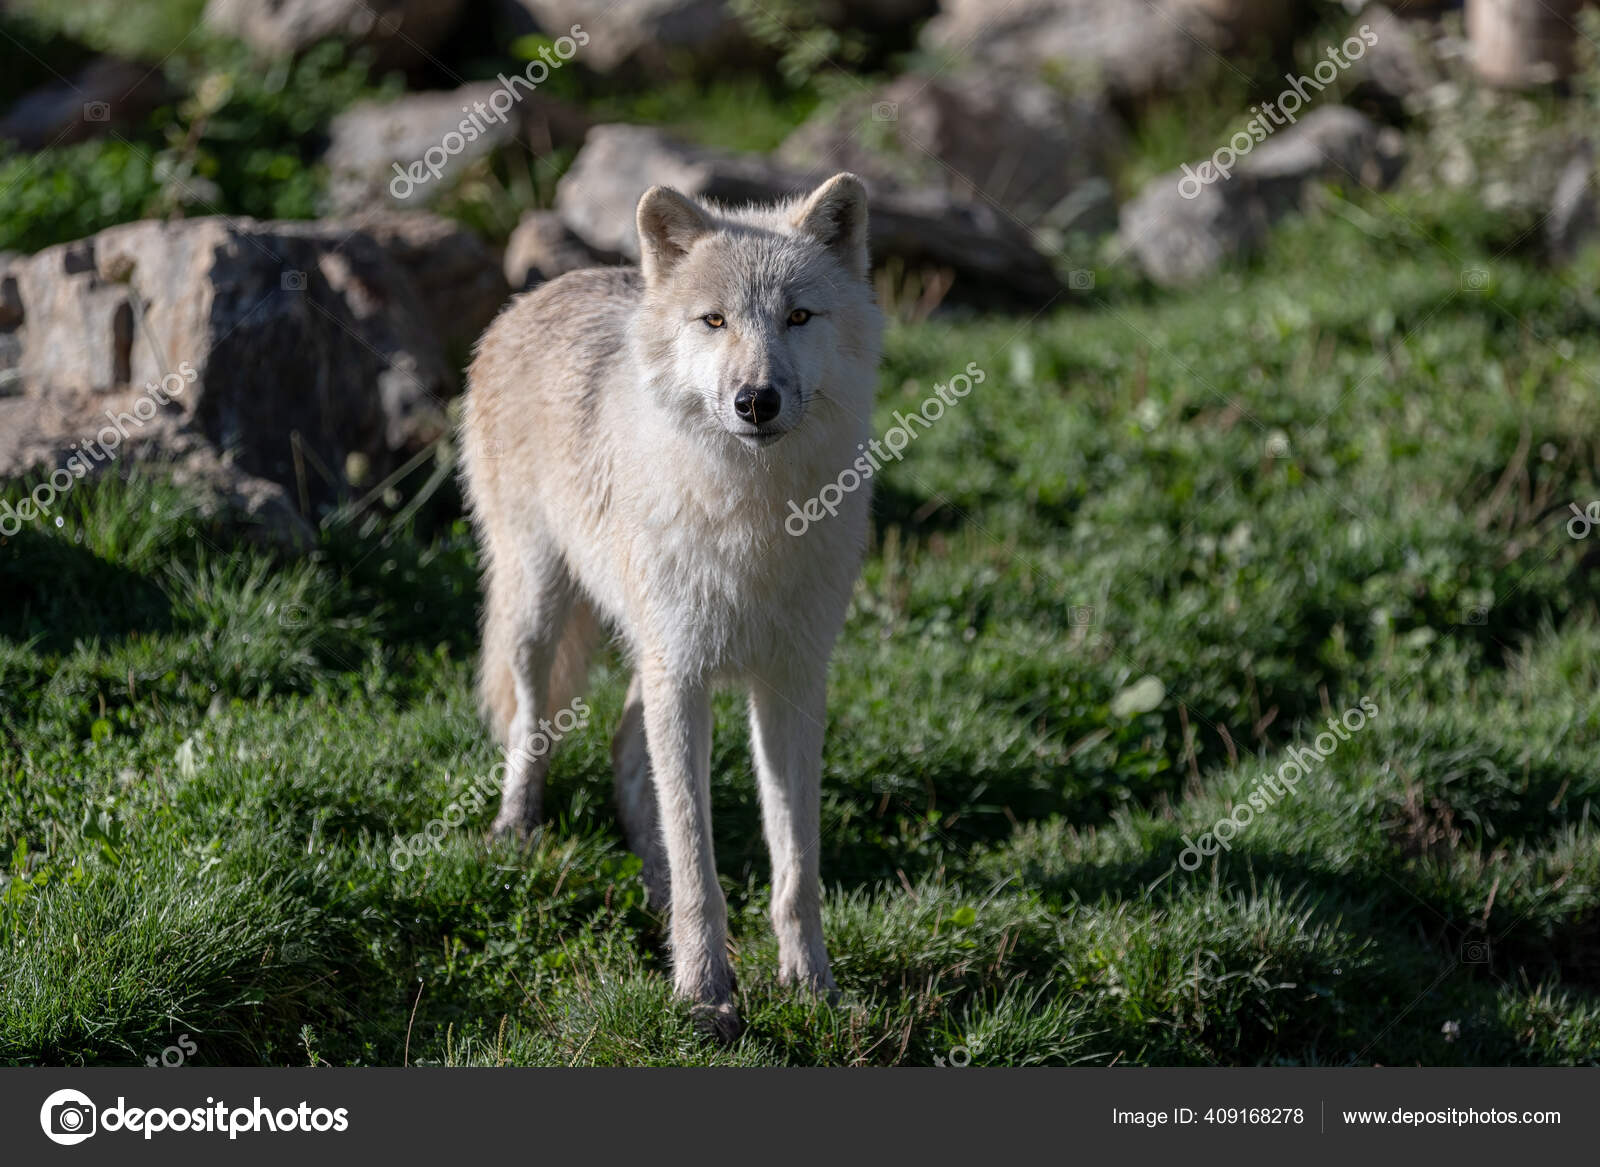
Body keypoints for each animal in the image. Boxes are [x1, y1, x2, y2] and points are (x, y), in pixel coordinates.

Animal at [460, 173, 882, 1036]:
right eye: (714, 320)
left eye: (798, 316)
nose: (756, 400)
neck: (756, 519)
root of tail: (541, 292)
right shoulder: (683, 673)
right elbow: (702, 865)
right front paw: (704, 992)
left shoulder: (791, 683)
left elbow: (796, 867)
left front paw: (812, 987)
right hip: (543, 611)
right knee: (531, 723)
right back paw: (516, 830)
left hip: (646, 650)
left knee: (627, 747)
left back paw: (648, 876)